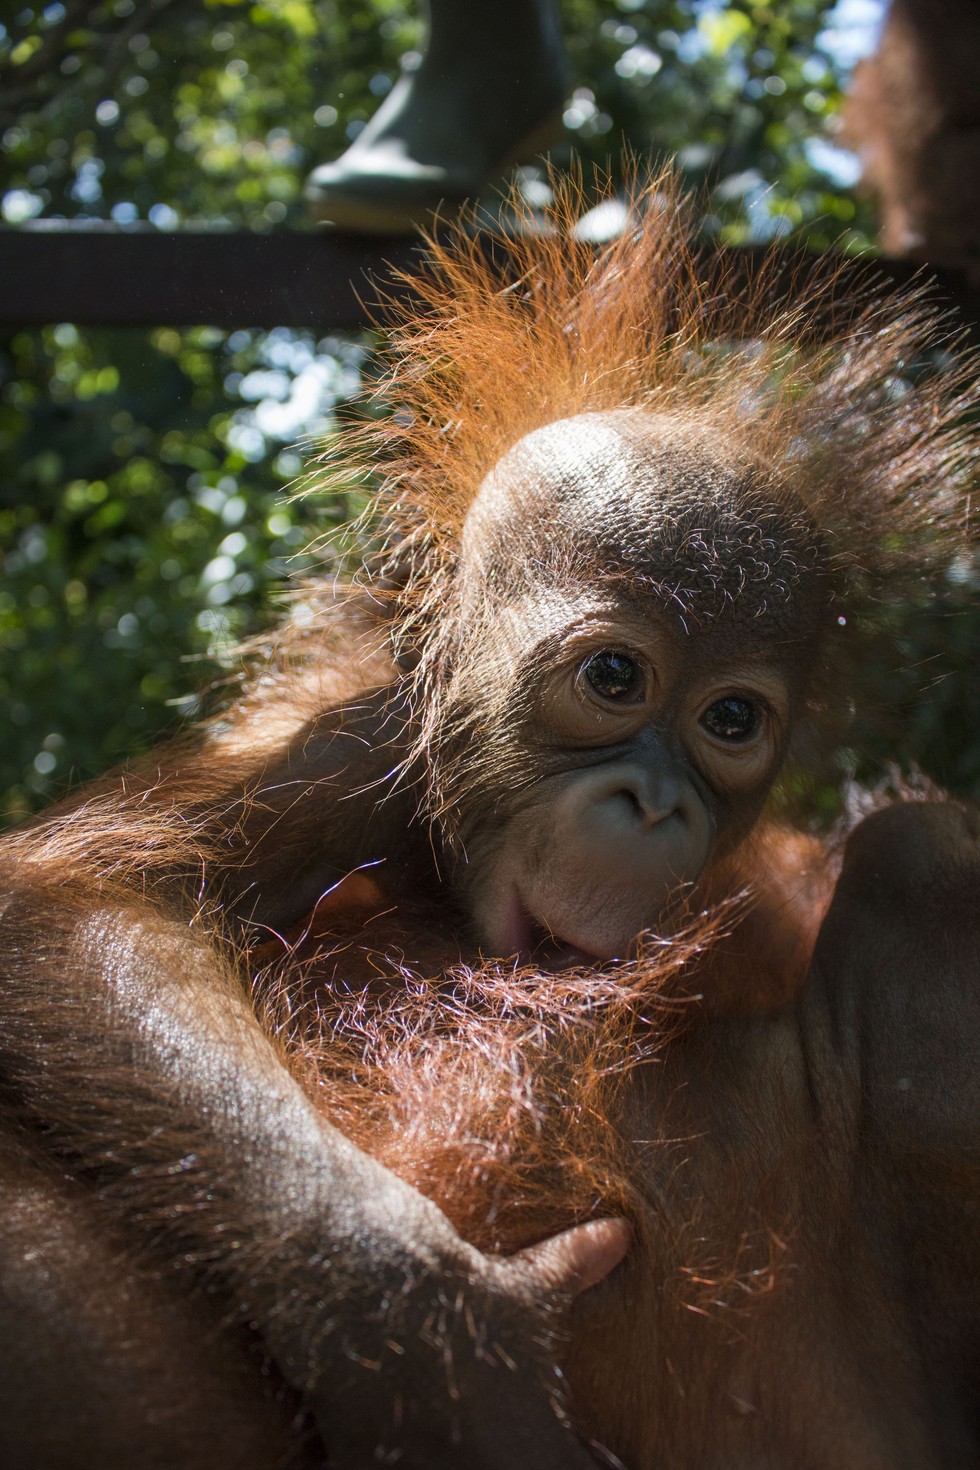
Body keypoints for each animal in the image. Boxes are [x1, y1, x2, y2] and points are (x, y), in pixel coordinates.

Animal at [0, 169, 976, 1467]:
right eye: (612, 678)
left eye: (729, 720)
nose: (651, 802)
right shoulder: (349, 746)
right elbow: (69, 898)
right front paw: (431, 1341)